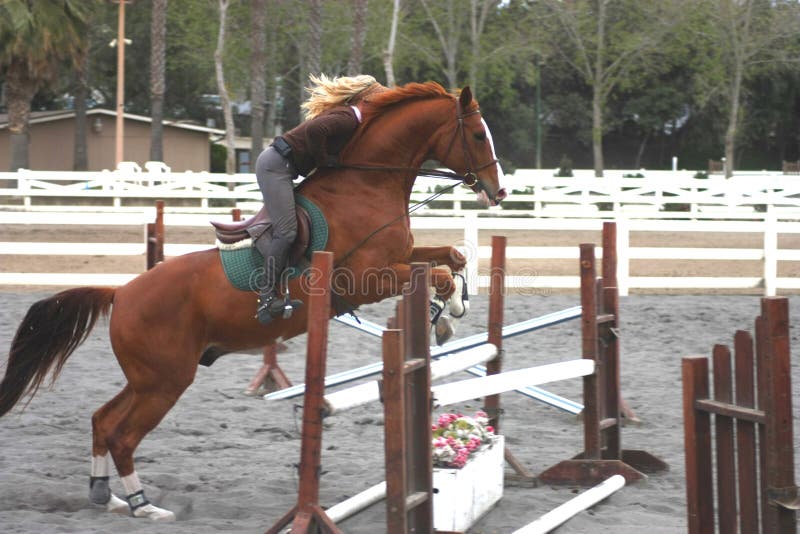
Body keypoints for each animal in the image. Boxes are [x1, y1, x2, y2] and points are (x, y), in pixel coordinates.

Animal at [0, 82, 506, 521]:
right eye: (478, 134)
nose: (499, 191)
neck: (366, 186)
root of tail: (121, 293)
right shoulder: (364, 279)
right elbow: (438, 273)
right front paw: (447, 315)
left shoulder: (400, 258)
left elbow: (452, 256)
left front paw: (452, 311)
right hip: (165, 381)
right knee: (122, 435)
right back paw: (144, 505)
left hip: (149, 377)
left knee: (103, 421)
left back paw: (106, 495)